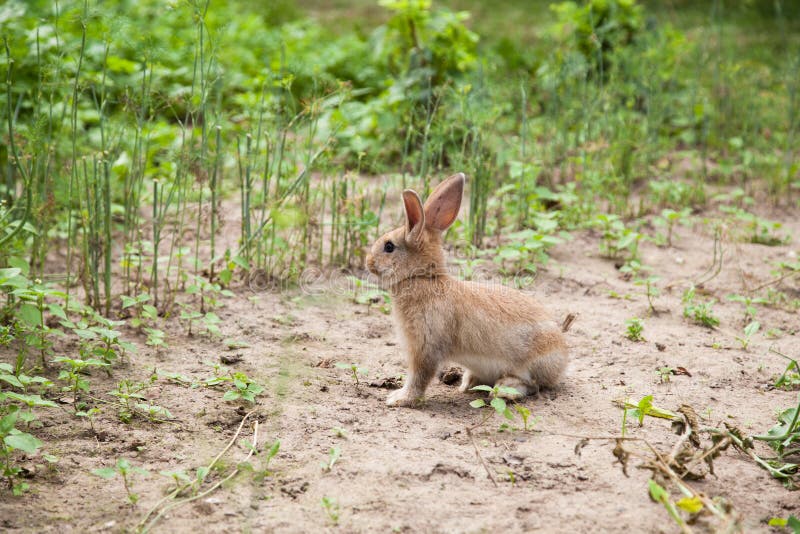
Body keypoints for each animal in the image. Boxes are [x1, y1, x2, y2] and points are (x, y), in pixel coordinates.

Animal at [365, 173, 569, 407]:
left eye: (389, 247)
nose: (368, 262)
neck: (423, 278)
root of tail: (563, 361)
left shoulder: (426, 346)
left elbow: (419, 377)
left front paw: (399, 398)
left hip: (533, 364)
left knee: (532, 385)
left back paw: (504, 390)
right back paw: (468, 383)